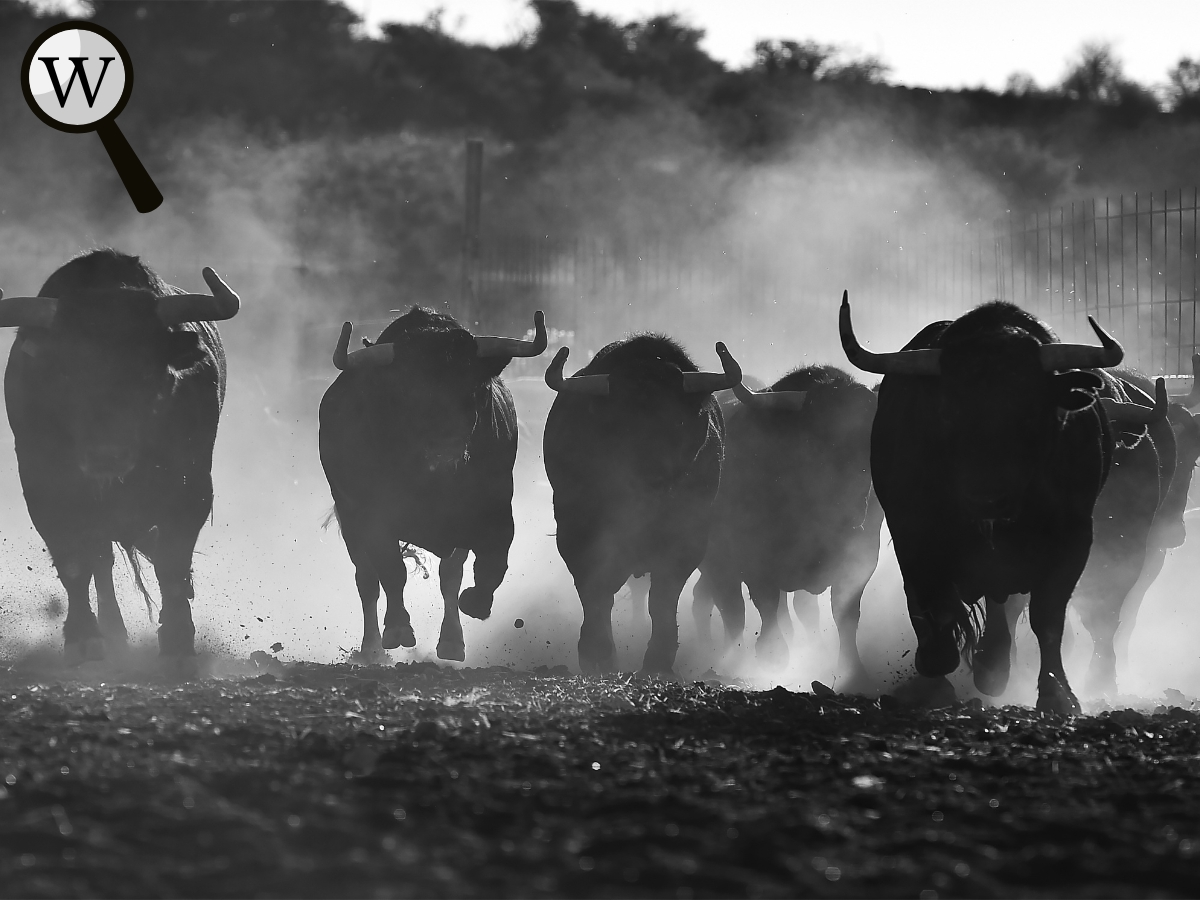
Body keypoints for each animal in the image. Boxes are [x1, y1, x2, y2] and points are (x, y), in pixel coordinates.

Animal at [2, 249, 240, 665]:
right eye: (66, 374)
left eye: (146, 372)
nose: (106, 456)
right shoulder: (44, 487)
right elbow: (75, 562)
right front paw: (84, 637)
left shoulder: (192, 486)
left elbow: (172, 558)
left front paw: (177, 635)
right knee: (100, 560)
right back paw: (113, 632)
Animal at [318, 307, 547, 663]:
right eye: (406, 391)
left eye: (476, 388)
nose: (445, 447)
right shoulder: (373, 517)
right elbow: (391, 571)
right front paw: (398, 628)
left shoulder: (495, 511)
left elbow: (490, 564)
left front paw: (473, 607)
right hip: (350, 519)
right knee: (367, 580)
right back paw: (371, 648)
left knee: (448, 578)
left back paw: (451, 639)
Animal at [542, 334, 741, 674]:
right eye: (619, 421)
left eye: (677, 421)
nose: (652, 475)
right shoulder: (576, 531)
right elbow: (595, 591)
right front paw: (597, 654)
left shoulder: (687, 540)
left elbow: (662, 600)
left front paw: (658, 659)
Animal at [692, 365, 884, 689]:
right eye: (820, 438)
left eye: (871, 438)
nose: (855, 508)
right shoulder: (755, 560)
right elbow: (766, 607)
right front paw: (773, 656)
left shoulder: (862, 557)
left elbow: (844, 614)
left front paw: (855, 673)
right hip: (717, 564)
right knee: (730, 610)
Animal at [841, 292, 1129, 714]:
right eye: (947, 412)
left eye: (1030, 411)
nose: (986, 496)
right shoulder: (911, 531)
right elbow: (933, 604)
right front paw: (933, 666)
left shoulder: (1075, 538)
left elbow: (1047, 618)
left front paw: (1057, 694)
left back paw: (994, 667)